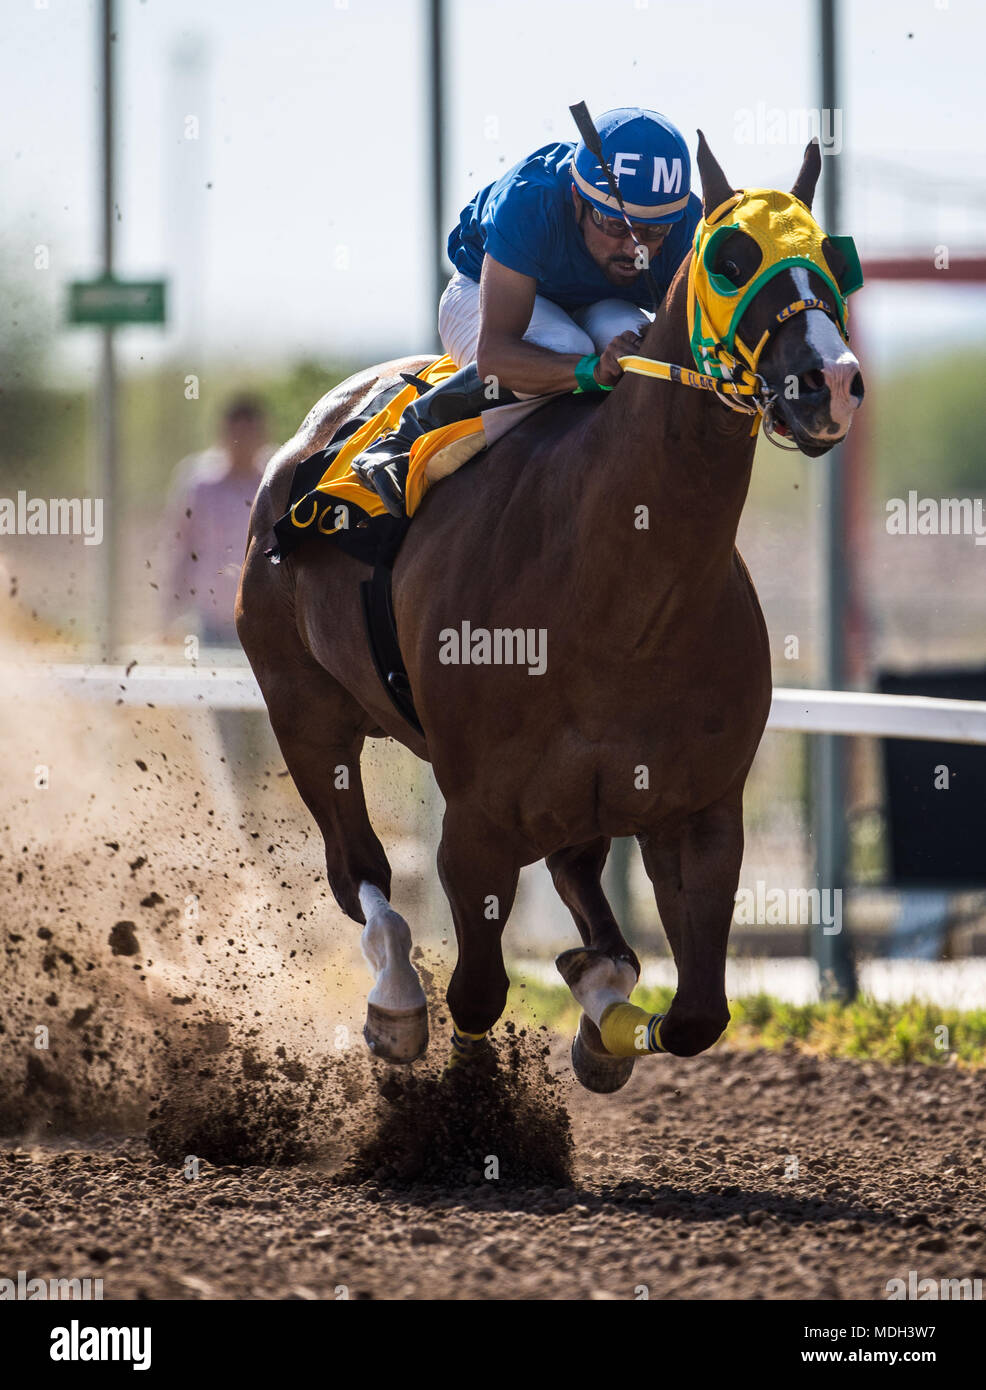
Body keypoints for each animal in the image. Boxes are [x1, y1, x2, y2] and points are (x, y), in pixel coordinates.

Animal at [236, 134, 864, 1092]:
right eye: (730, 257)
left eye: (832, 254)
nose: (830, 380)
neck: (621, 604)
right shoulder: (478, 821)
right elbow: (477, 994)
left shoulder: (699, 812)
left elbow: (696, 1016)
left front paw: (606, 1021)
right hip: (305, 712)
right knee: (359, 873)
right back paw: (396, 997)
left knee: (577, 881)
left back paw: (596, 981)